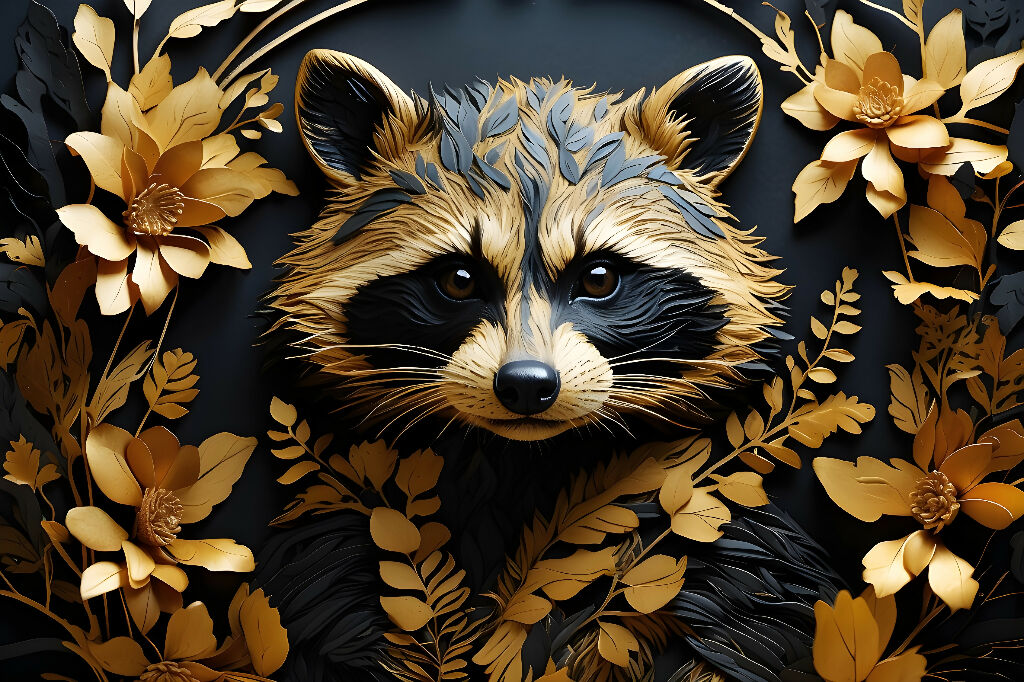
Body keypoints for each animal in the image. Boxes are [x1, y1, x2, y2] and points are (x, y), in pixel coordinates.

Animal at [259, 51, 838, 682]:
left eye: (600, 277)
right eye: (457, 279)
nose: (527, 385)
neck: (521, 463)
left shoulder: (707, 530)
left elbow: (761, 621)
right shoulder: (346, 540)